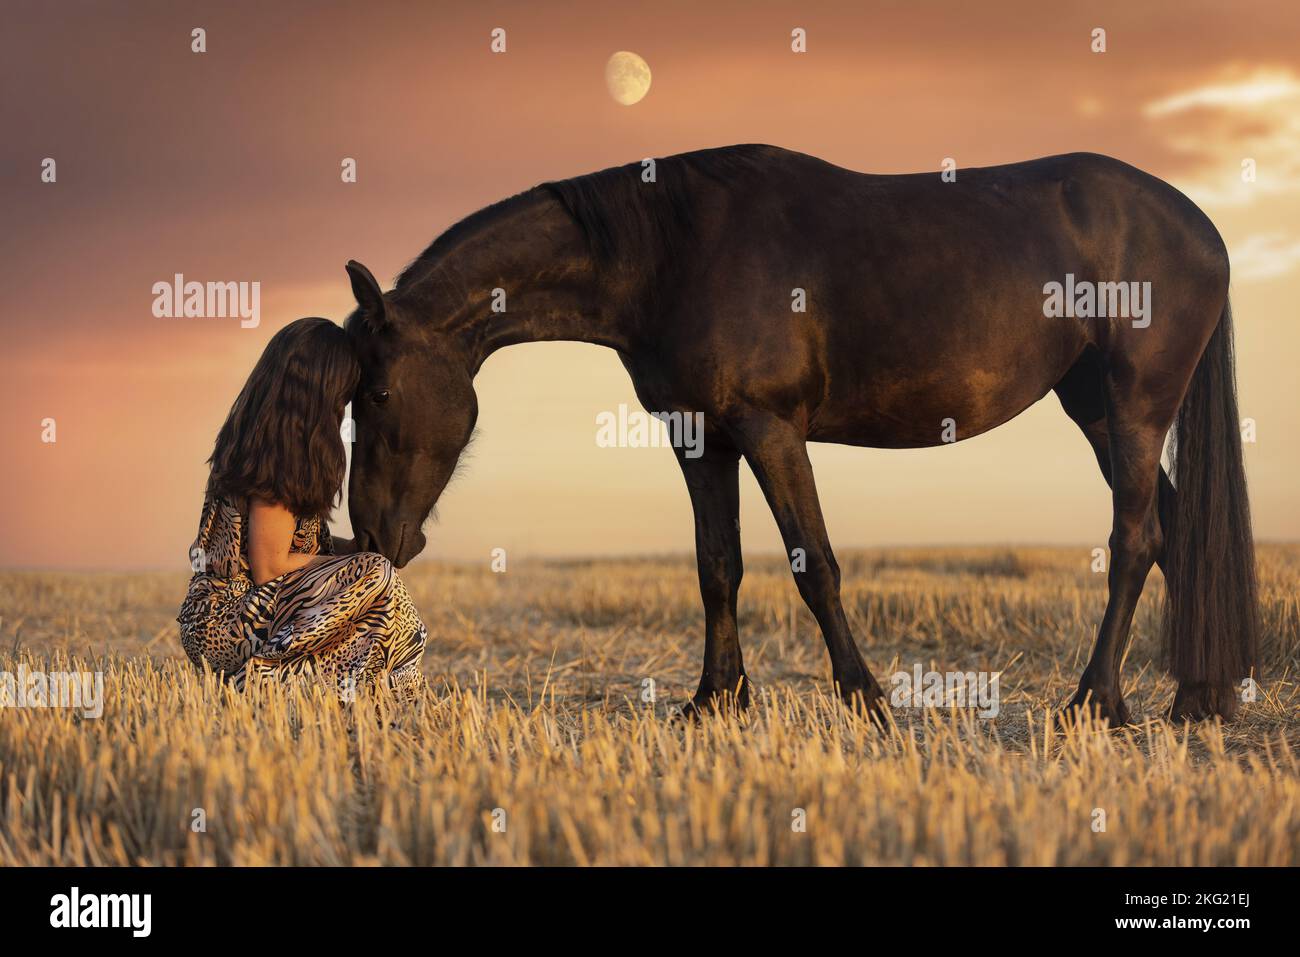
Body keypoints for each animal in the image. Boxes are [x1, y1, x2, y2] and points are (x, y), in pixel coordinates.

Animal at [342, 144, 1258, 725]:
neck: (668, 254)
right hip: (1096, 411)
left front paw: (867, 699)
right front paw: (714, 701)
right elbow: (717, 568)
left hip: (1136, 410)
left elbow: (815, 565)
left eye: (378, 391)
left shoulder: (770, 429)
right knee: (1178, 532)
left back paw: (1095, 703)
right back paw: (1192, 699)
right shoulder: (700, 439)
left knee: (1136, 540)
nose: (375, 536)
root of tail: (1203, 228)